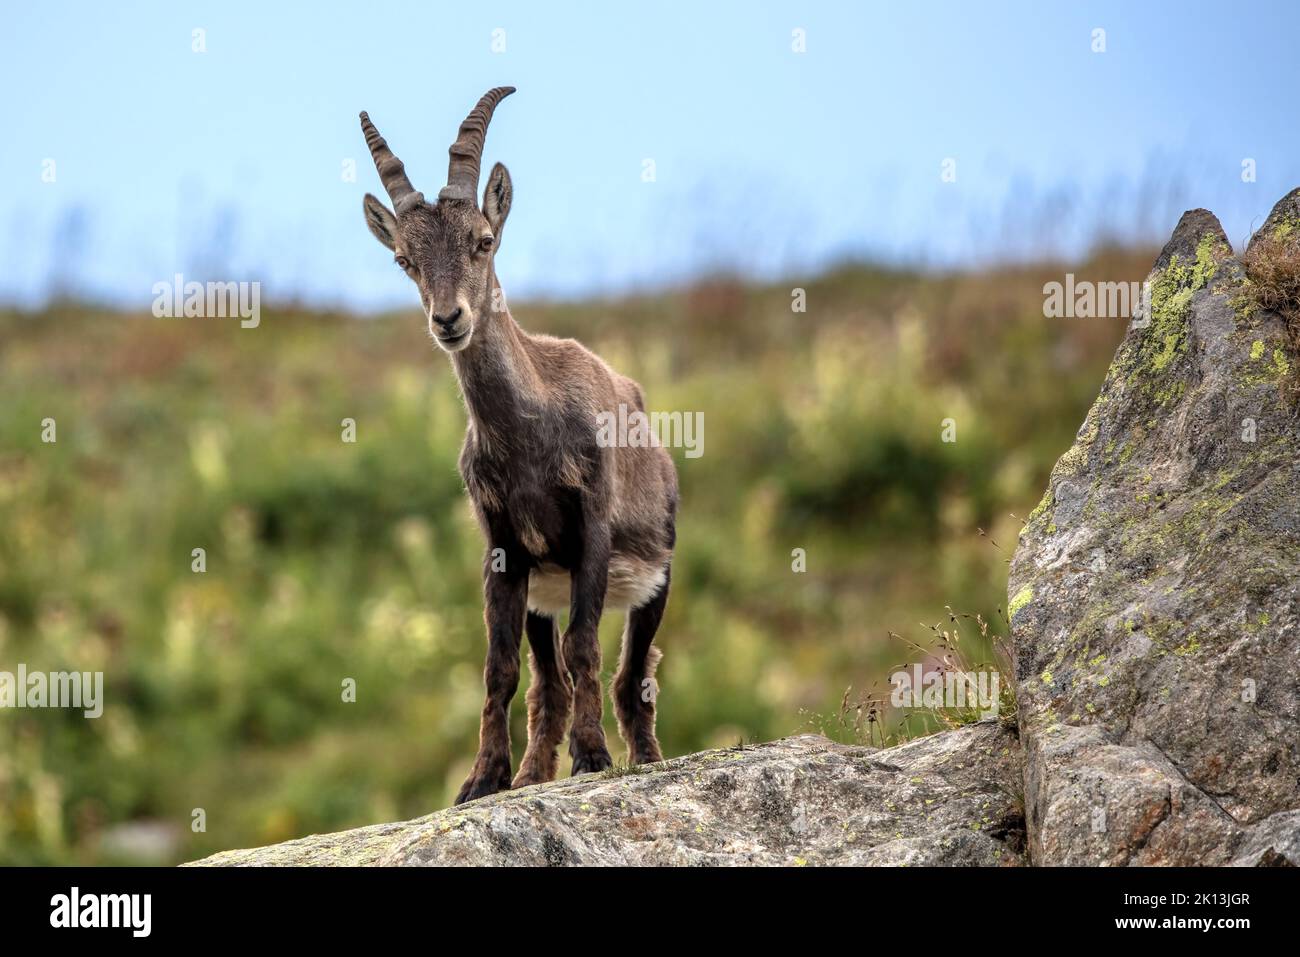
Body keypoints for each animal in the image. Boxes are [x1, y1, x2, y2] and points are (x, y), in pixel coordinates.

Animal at [359, 88, 678, 804]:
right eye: (405, 260)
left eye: (482, 241)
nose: (449, 319)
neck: (530, 437)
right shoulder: (505, 549)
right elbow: (499, 670)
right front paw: (483, 779)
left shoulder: (590, 531)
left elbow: (586, 648)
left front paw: (593, 758)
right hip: (542, 593)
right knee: (546, 688)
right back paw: (533, 773)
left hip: (654, 577)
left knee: (632, 677)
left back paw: (643, 758)